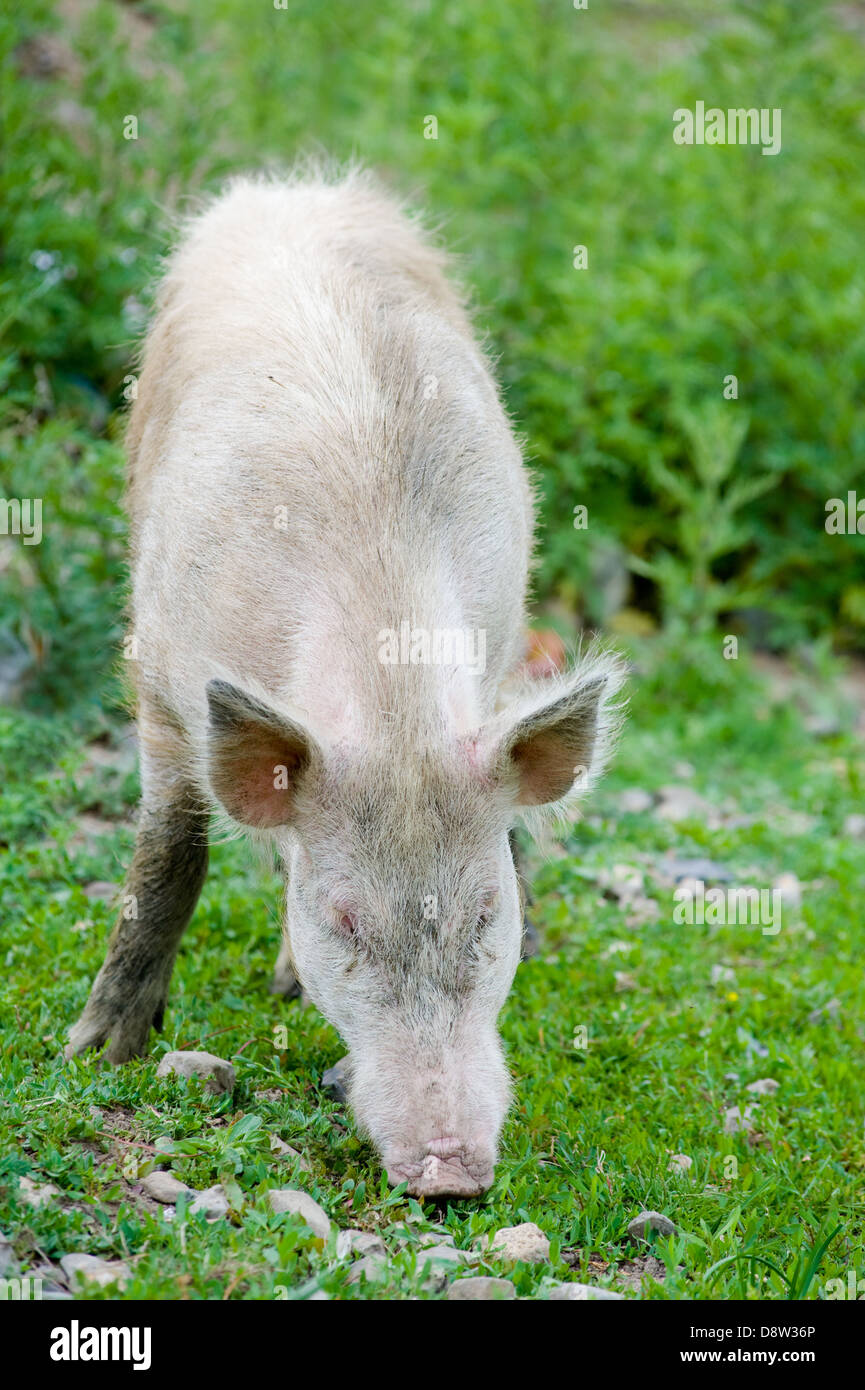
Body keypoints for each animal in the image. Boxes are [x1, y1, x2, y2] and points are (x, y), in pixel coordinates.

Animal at [66, 165, 625, 1198]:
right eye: (346, 921)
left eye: (486, 913)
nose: (448, 1173)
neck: (389, 708)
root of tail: (293, 185)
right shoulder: (160, 682)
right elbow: (168, 855)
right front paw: (100, 1051)